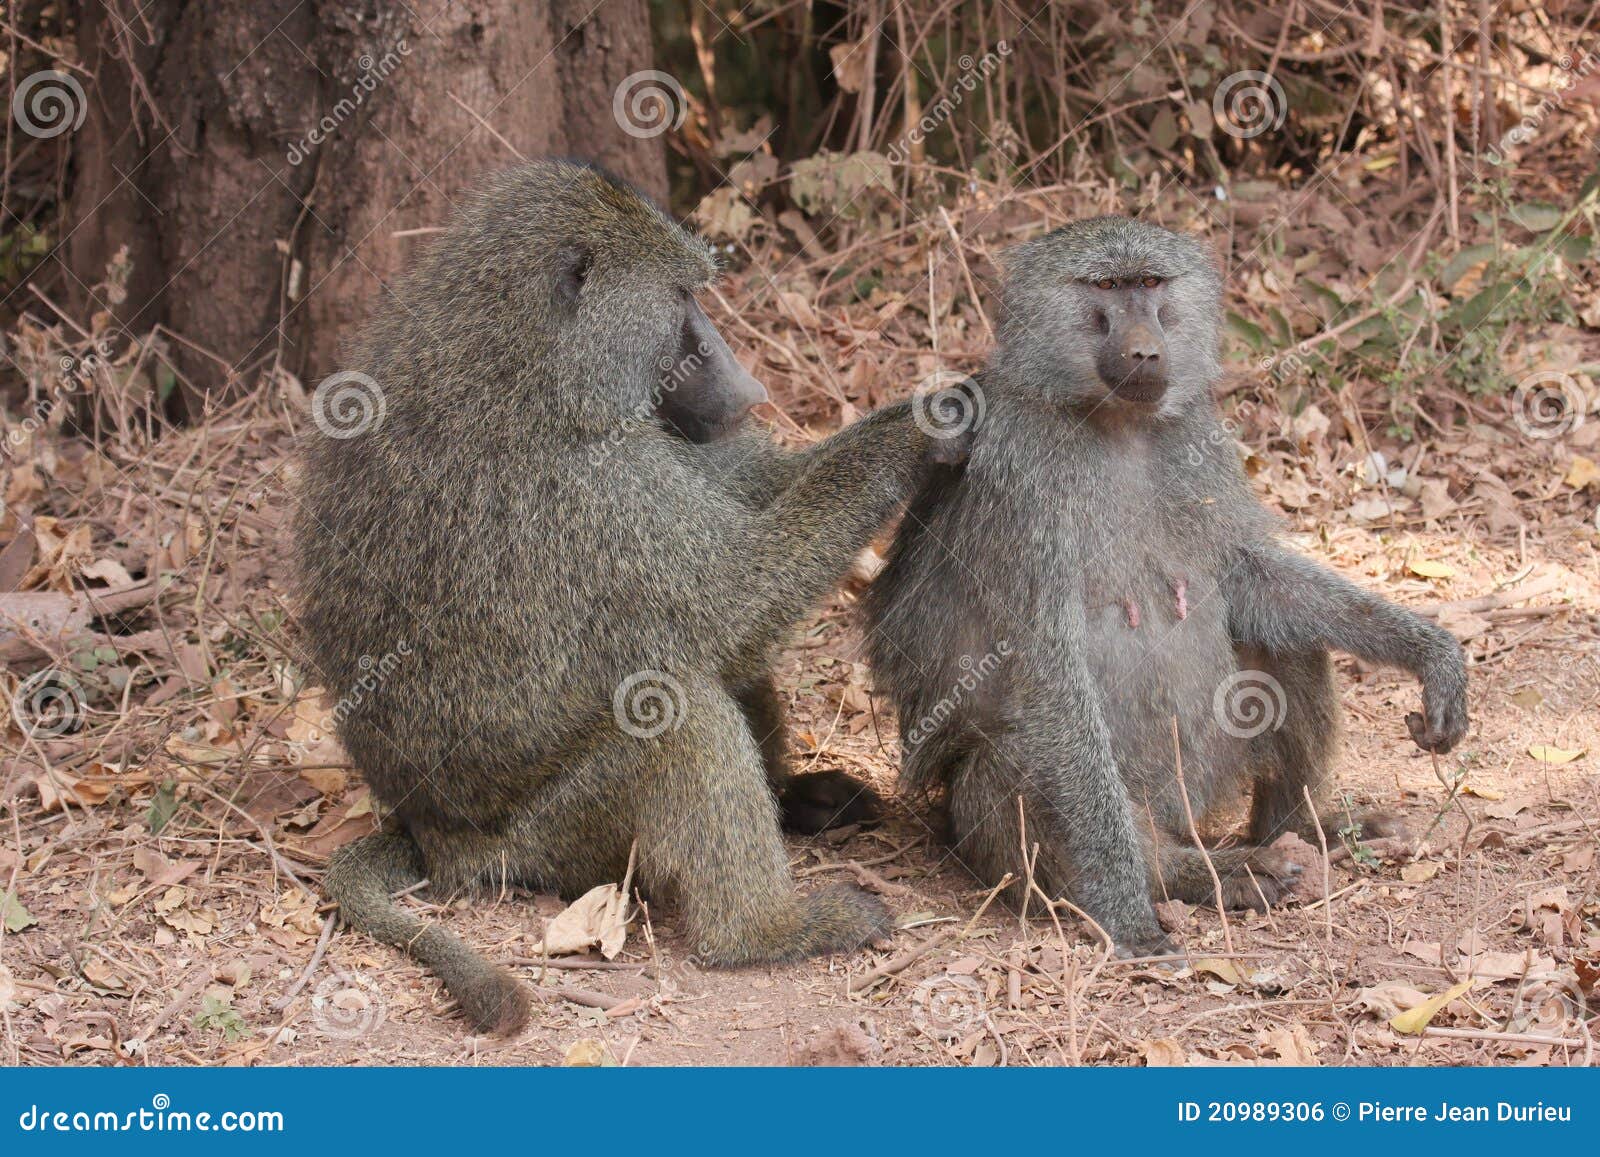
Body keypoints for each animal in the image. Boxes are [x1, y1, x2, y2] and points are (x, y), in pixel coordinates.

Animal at [294, 160, 965, 1033]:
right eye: (683, 299)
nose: (741, 376)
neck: (524, 355)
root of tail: (436, 836)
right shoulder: (592, 484)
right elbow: (733, 604)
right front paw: (922, 425)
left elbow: (761, 501)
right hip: (552, 839)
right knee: (678, 707)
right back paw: (767, 930)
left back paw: (796, 802)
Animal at [863, 216, 1469, 956]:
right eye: (1105, 288)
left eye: (1151, 282)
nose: (1147, 350)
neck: (1115, 423)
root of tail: (1179, 819)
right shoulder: (1019, 475)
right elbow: (1051, 671)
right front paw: (1128, 916)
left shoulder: (1198, 442)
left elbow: (1247, 578)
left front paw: (1430, 655)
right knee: (1014, 759)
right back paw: (1193, 874)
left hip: (1207, 777)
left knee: (1285, 644)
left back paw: (1302, 833)